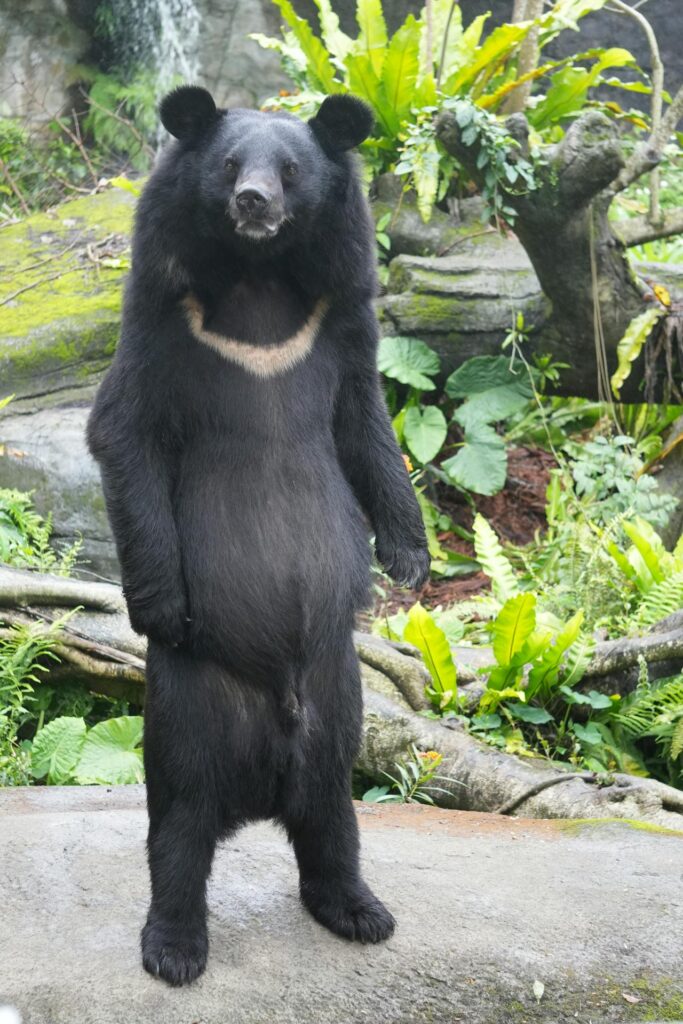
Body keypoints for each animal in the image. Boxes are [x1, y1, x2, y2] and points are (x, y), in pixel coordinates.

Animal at [87, 85, 430, 987]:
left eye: (291, 170)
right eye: (230, 164)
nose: (252, 203)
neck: (258, 274)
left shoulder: (339, 316)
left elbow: (366, 423)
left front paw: (410, 561)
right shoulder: (162, 315)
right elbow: (123, 430)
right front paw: (160, 606)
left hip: (339, 699)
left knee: (333, 817)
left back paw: (359, 910)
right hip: (189, 705)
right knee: (177, 826)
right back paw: (174, 949)